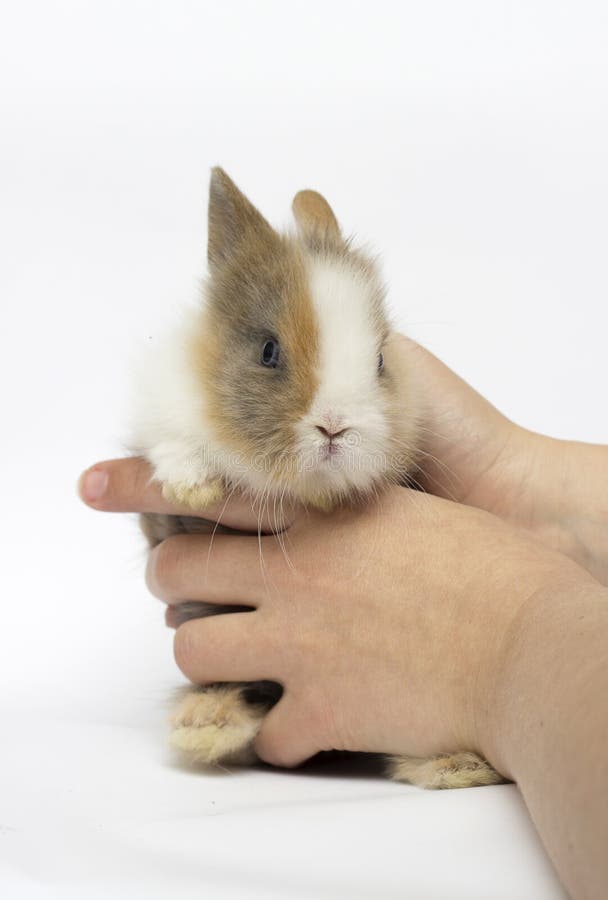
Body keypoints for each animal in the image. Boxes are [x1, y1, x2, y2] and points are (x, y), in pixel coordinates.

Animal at [131, 167, 503, 790]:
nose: (335, 426)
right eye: (268, 351)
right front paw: (193, 481)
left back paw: (455, 766)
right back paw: (207, 723)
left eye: (380, 361)